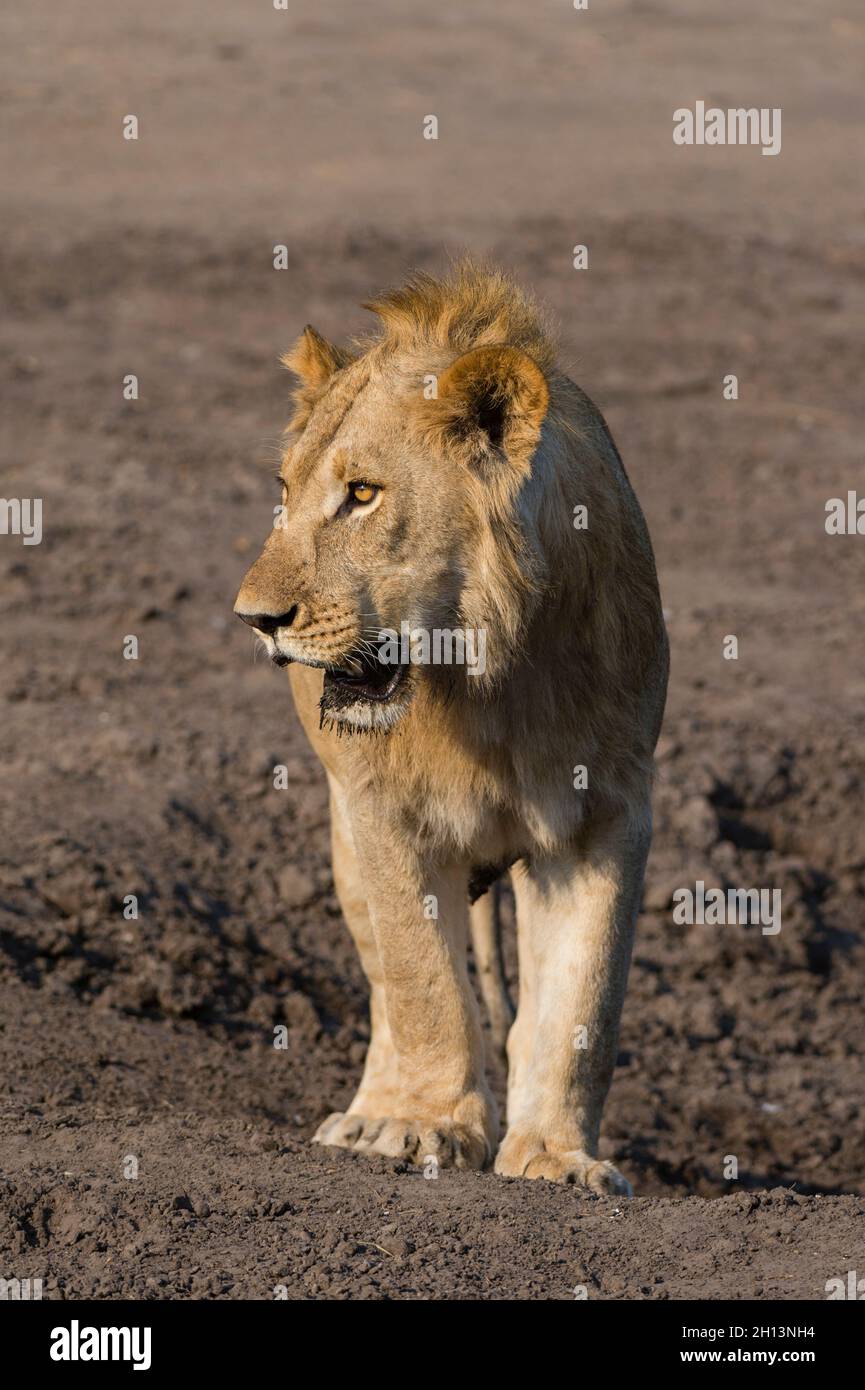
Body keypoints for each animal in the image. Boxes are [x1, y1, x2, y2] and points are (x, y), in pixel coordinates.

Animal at [234, 261, 668, 1193]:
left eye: (362, 495)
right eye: (284, 494)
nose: (254, 619)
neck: (484, 676)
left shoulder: (606, 814)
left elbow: (584, 1002)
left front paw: (556, 1157)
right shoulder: (379, 805)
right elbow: (422, 982)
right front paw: (421, 1126)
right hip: (341, 833)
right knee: (386, 985)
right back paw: (372, 1111)